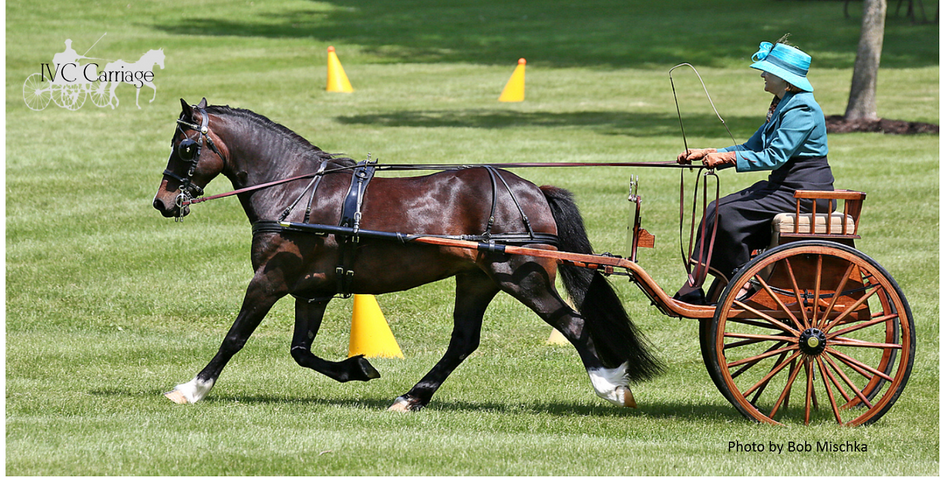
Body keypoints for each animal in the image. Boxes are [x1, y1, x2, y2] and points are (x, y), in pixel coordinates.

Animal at [152, 98, 663, 411]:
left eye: (186, 146)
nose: (162, 201)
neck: (294, 190)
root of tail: (533, 189)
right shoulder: (311, 291)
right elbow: (301, 351)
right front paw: (357, 367)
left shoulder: (270, 279)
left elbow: (235, 337)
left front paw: (191, 389)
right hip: (477, 280)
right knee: (463, 341)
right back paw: (412, 396)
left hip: (523, 277)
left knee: (573, 324)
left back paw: (611, 386)